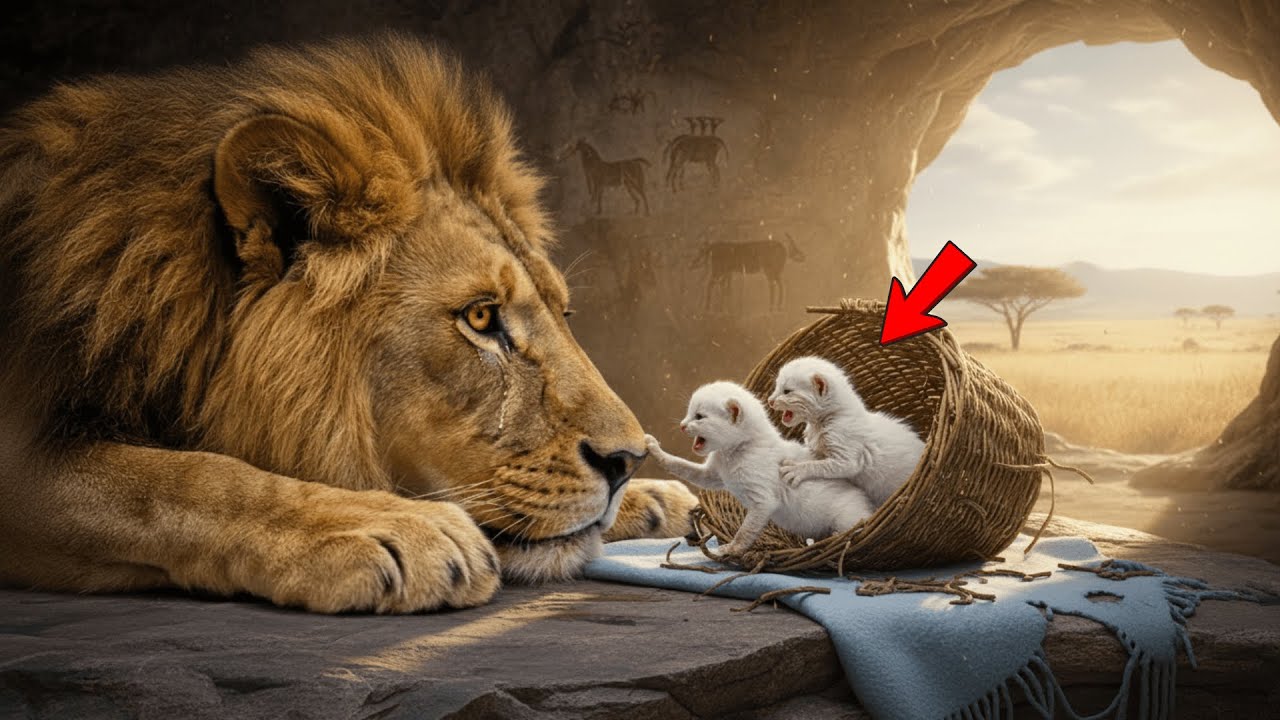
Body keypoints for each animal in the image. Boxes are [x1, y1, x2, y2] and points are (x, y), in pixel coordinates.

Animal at [0, 35, 697, 614]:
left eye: (563, 312)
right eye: (480, 317)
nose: (627, 460)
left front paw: (659, 499)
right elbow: (185, 479)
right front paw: (392, 529)